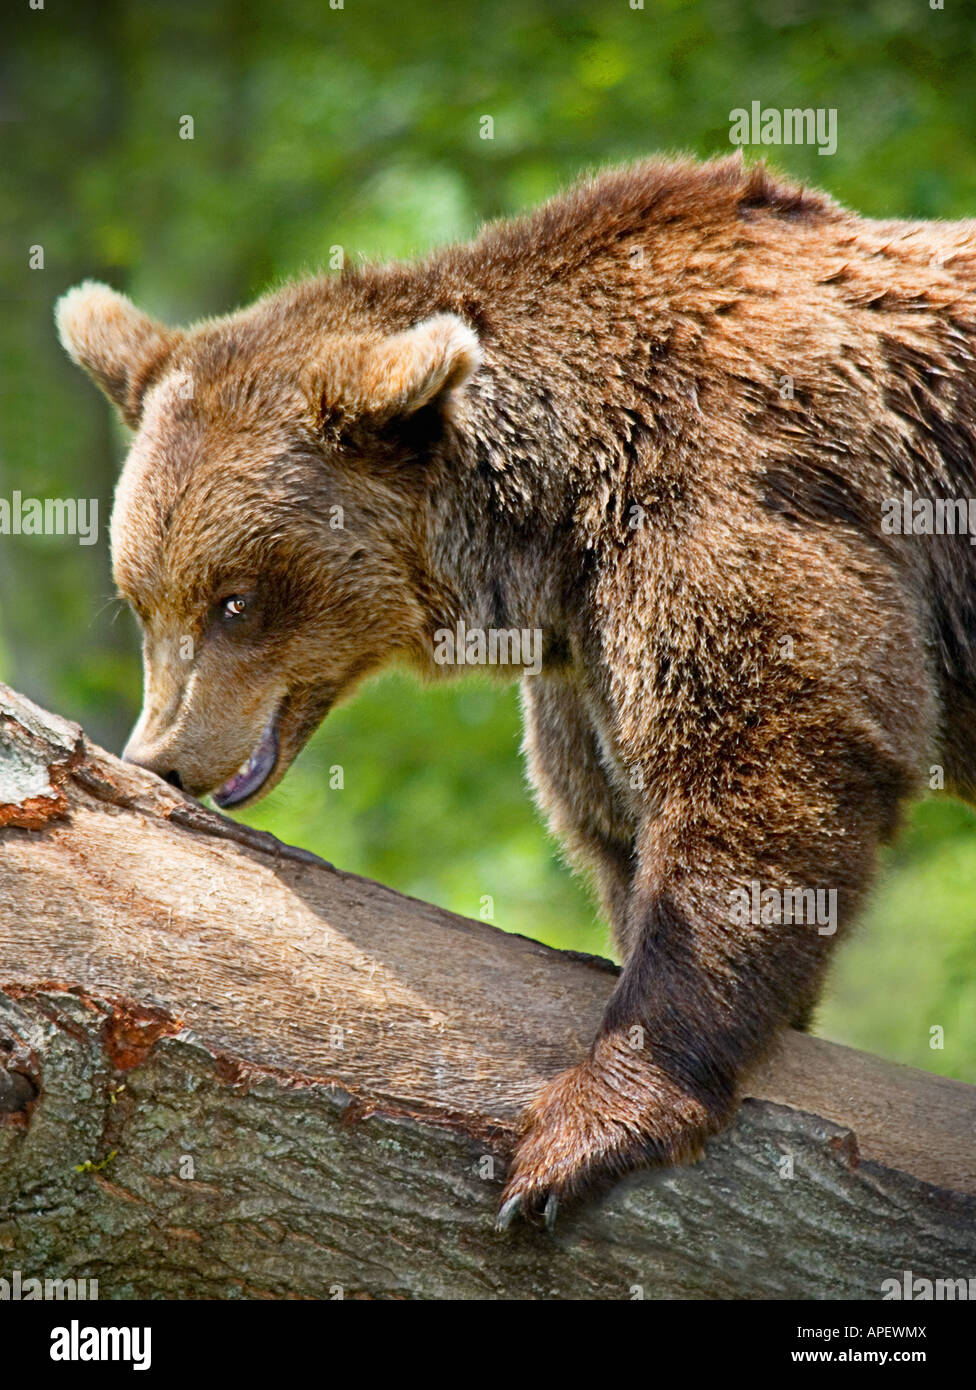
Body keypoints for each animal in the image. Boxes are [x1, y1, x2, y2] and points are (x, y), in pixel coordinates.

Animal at [56, 153, 976, 1227]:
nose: (162, 757)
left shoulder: (739, 487)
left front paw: (581, 1134)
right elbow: (616, 820)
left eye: (236, 603)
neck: (556, 524)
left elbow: (764, 755)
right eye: (140, 600)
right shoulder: (583, 671)